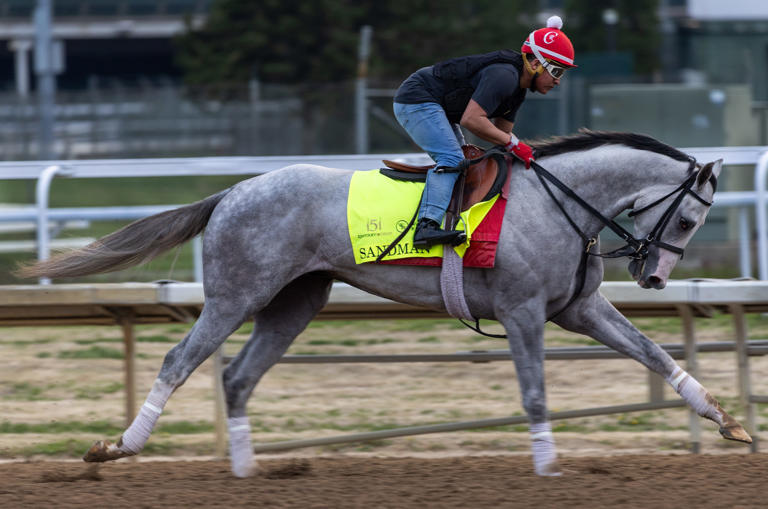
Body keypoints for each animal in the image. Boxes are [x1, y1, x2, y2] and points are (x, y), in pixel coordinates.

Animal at [17, 130, 750, 477]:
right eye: (690, 220)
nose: (655, 279)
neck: (559, 200)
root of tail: (231, 192)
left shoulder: (579, 308)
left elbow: (654, 352)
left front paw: (728, 422)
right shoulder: (521, 313)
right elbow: (537, 394)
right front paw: (547, 467)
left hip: (295, 303)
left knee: (237, 376)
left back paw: (248, 469)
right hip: (236, 294)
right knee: (180, 361)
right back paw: (119, 447)